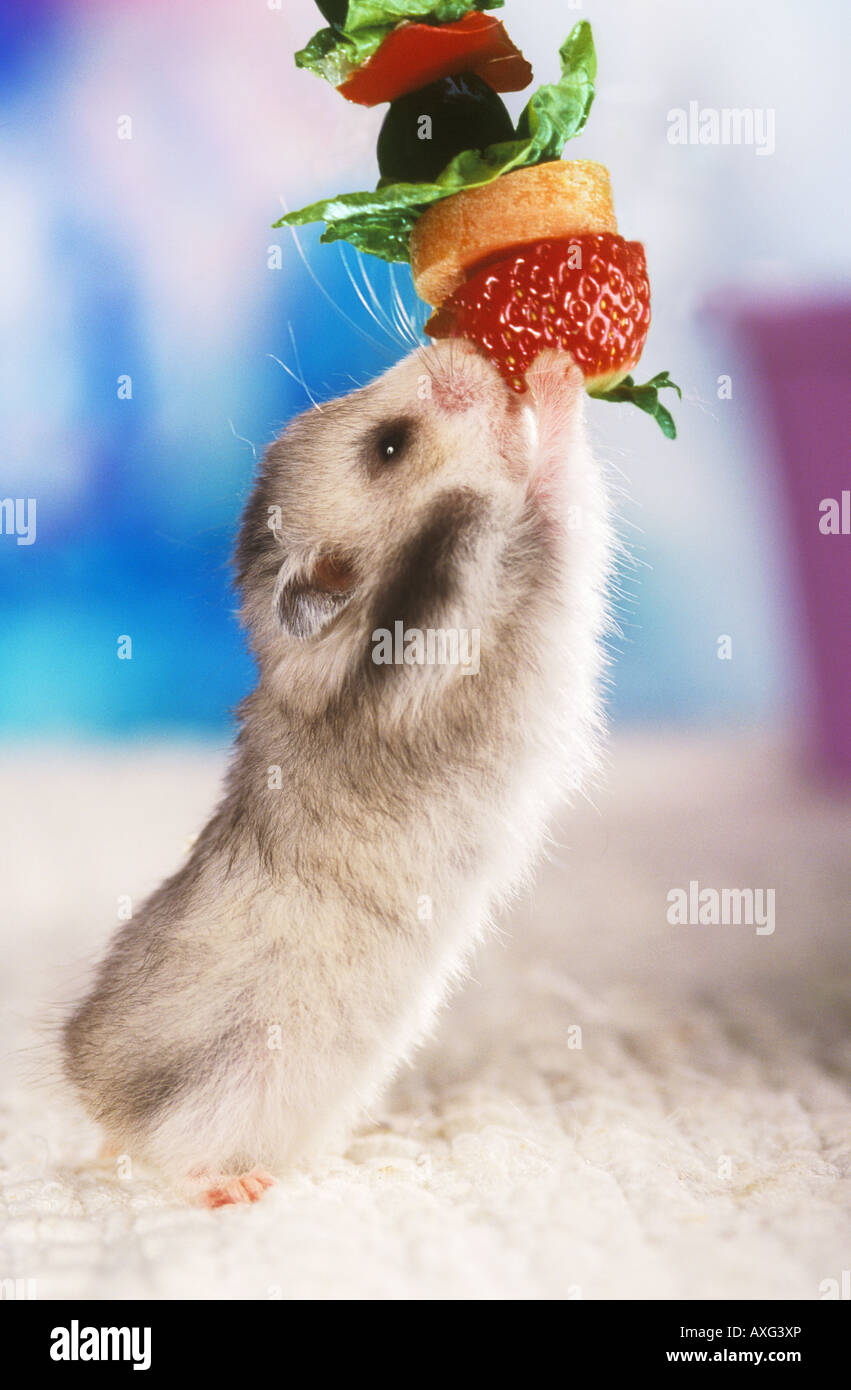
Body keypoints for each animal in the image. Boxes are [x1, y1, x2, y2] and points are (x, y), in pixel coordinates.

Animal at [62, 341, 613, 1206]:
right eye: (388, 446)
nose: (456, 346)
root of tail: (96, 1105)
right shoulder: (509, 580)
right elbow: (554, 490)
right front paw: (552, 375)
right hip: (219, 1085)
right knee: (164, 1160)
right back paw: (235, 1189)